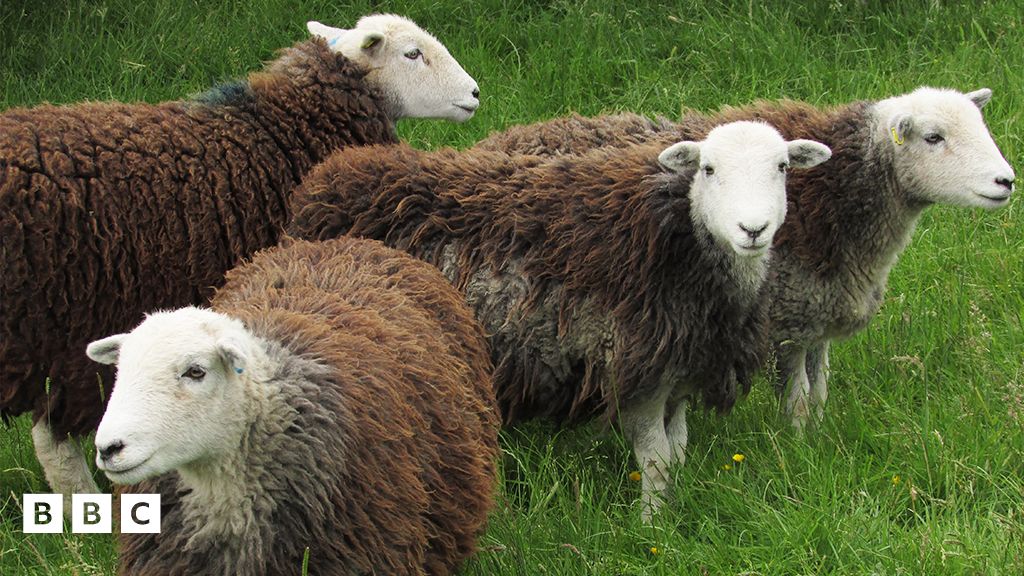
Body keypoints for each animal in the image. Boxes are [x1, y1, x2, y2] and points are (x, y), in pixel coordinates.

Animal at [288, 122, 832, 519]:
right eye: (709, 169)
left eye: (783, 166)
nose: (753, 229)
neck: (683, 247)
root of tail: (332, 174)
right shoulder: (632, 374)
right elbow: (656, 461)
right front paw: (653, 526)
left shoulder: (679, 371)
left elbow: (676, 450)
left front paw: (675, 509)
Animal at [468, 87, 1016, 430]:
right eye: (933, 137)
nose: (1007, 181)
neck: (840, 195)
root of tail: (491, 143)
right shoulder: (788, 318)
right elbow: (798, 397)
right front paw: (799, 447)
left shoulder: (818, 313)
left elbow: (820, 388)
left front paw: (820, 435)